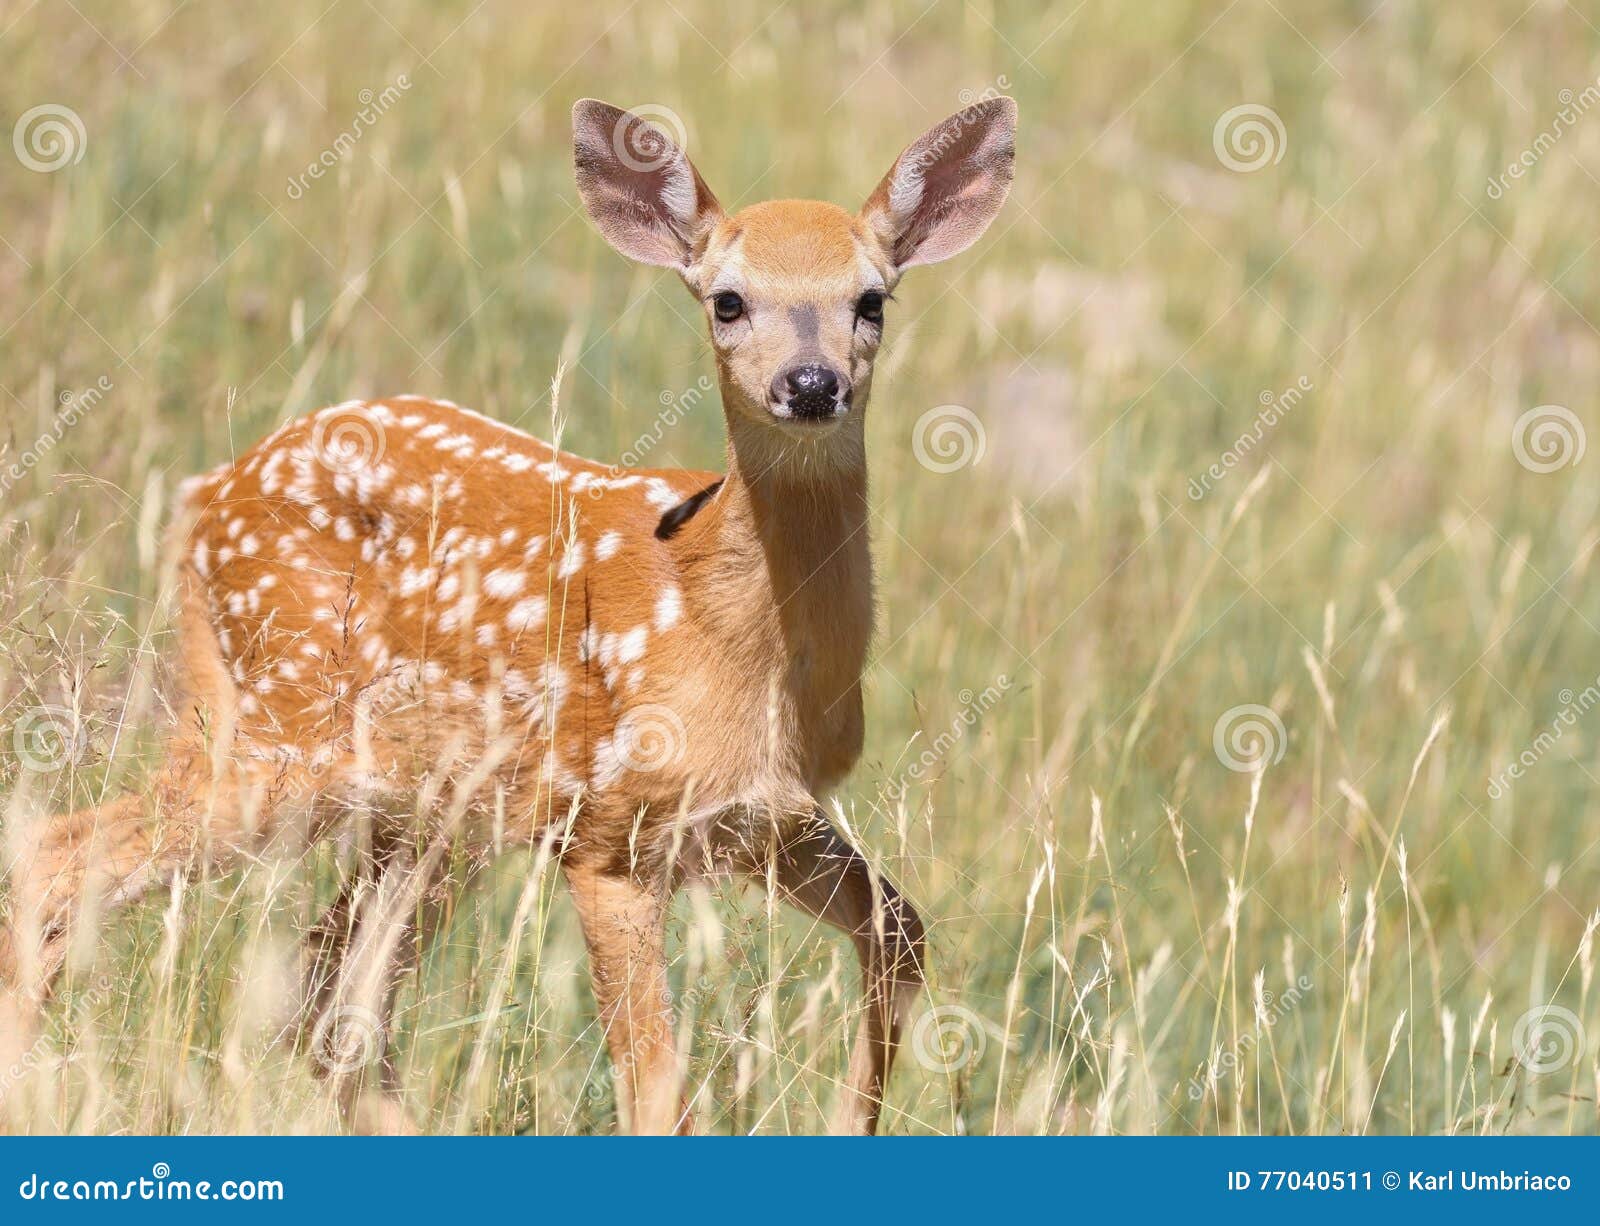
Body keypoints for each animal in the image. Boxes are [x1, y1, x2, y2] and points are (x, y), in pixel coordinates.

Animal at [1, 96, 1016, 1134]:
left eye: (872, 300)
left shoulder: (769, 817)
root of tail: (201, 497)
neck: (729, 632)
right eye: (726, 301)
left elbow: (901, 930)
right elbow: (656, 1090)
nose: (811, 385)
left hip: (421, 806)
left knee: (330, 990)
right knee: (60, 855)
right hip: (277, 736)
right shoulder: (609, 831)